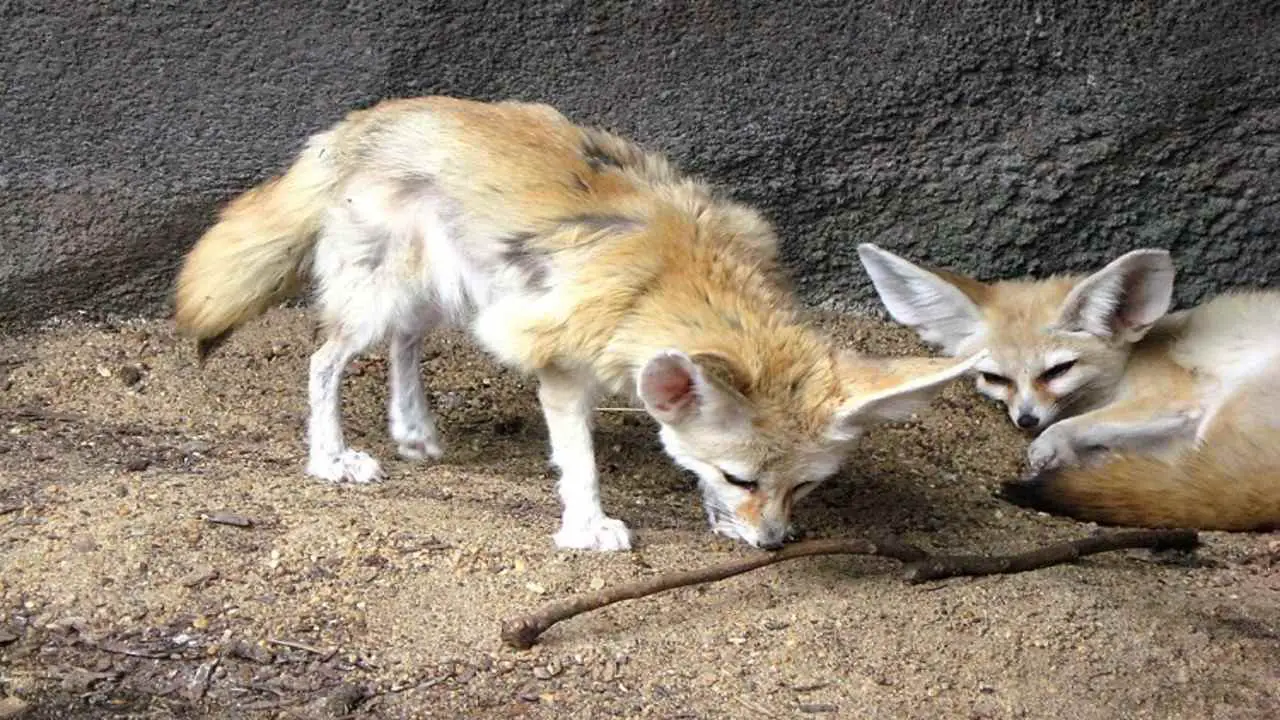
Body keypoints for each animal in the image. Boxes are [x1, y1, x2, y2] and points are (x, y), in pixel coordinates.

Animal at [173, 96, 985, 552]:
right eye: (741, 476)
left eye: (806, 489)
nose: (774, 544)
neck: (674, 277)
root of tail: (358, 124)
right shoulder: (562, 363)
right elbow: (581, 460)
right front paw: (588, 530)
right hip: (385, 294)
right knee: (324, 361)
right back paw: (331, 459)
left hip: (442, 290)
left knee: (406, 344)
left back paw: (415, 432)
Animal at [856, 242, 1280, 532]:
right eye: (995, 378)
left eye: (1058, 370)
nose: (1026, 420)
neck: (1135, 359)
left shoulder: (1170, 399)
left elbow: (1073, 427)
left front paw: (1050, 447)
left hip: (1225, 414)